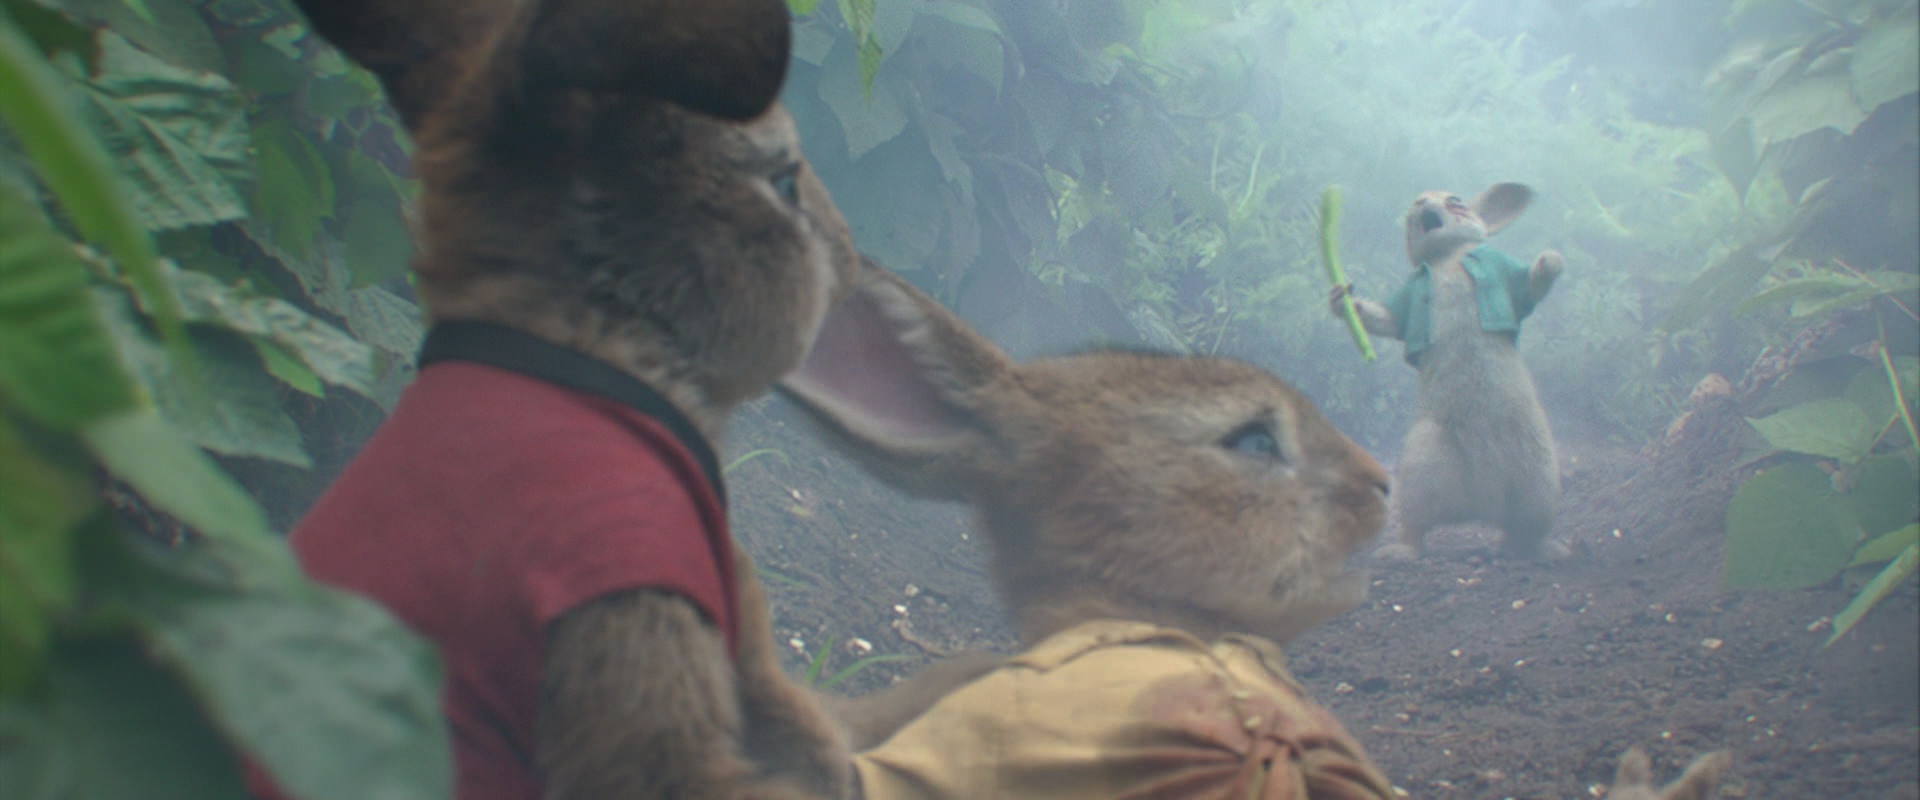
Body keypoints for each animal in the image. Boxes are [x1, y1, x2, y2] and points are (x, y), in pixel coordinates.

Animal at [1329, 183, 1569, 561]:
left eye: (1455, 200)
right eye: (1414, 203)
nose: (1420, 202)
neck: (1447, 259)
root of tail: (1484, 508)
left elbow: (1529, 281)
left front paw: (1550, 260)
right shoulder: (1410, 293)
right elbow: (1388, 318)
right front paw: (1341, 297)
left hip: (1541, 475)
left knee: (1528, 528)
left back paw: (1548, 550)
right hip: (1420, 463)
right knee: (1418, 527)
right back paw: (1397, 552)